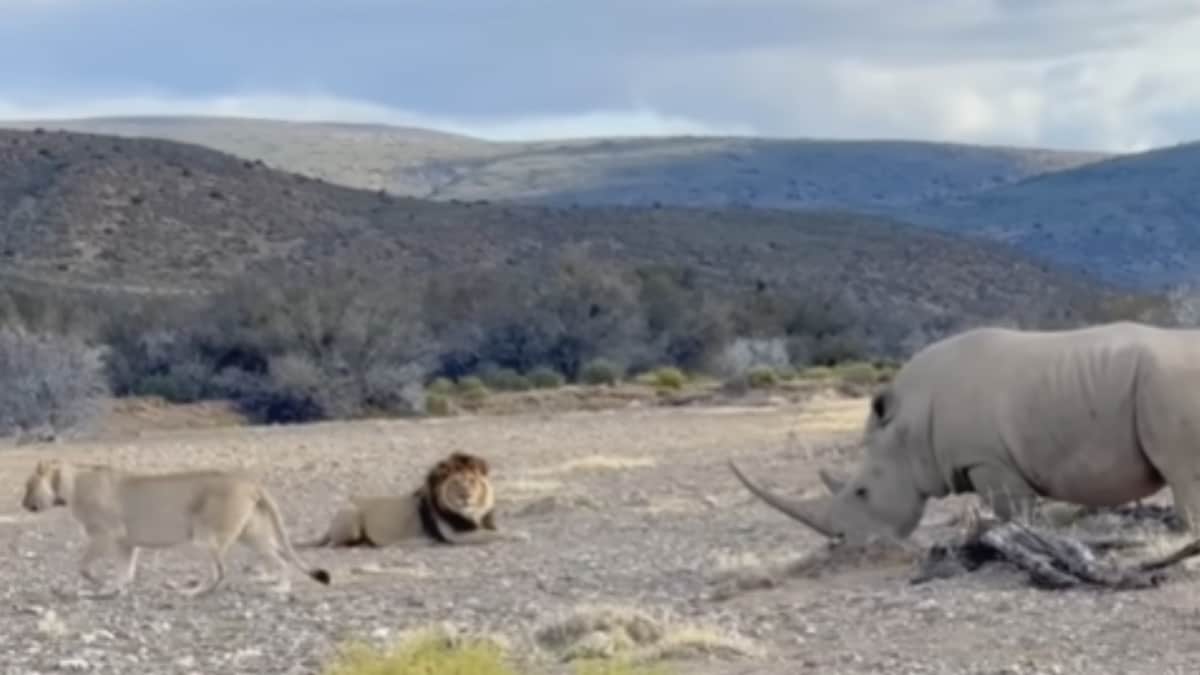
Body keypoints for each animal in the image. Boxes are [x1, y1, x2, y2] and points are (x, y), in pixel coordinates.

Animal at [21, 459, 332, 598]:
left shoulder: (105, 535)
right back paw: (278, 586)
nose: (22, 503)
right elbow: (125, 570)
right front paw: (115, 589)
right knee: (278, 559)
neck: (70, 484)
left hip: (205, 536)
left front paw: (99, 585)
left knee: (220, 572)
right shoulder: (125, 542)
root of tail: (251, 482)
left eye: (28, 485)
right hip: (251, 533)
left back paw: (191, 592)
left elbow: (83, 567)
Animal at [300, 451, 529, 548]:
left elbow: (496, 530)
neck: (473, 513)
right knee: (336, 544)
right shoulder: (457, 536)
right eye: (456, 484)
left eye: (471, 481)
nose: (466, 496)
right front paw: (520, 535)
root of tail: (331, 521)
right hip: (352, 517)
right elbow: (493, 534)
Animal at [731, 321, 1200, 542]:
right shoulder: (986, 460)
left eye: (862, 492)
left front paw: (1016, 542)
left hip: (1167, 382)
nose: (843, 542)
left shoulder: (988, 459)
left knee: (1181, 470)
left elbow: (1016, 513)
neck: (907, 426)